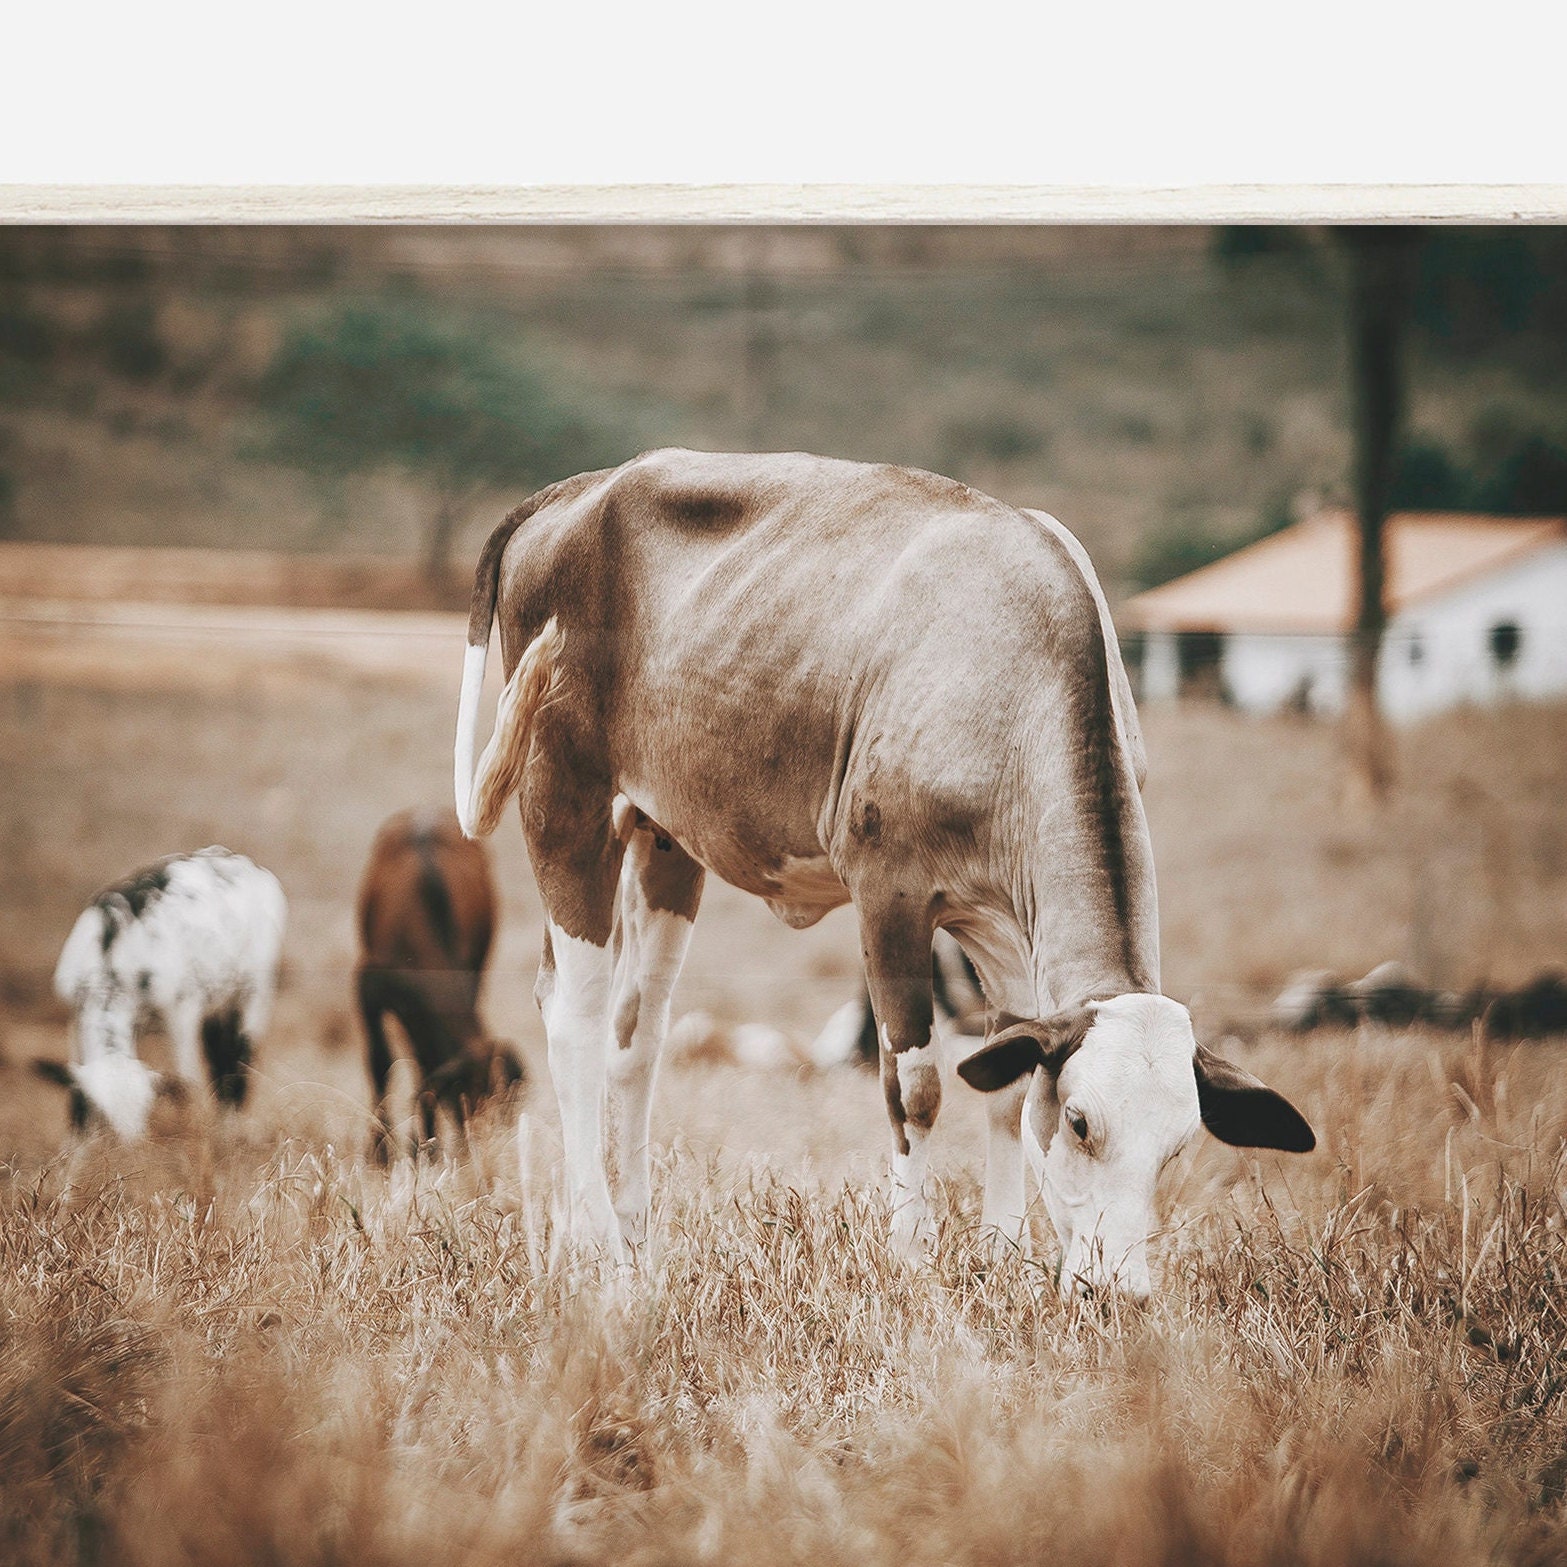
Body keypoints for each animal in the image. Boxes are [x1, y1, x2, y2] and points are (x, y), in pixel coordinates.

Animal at [40, 847, 286, 1139]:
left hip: (255, 989)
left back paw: (229, 1127)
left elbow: (186, 1082)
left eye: (144, 1112)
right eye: (102, 1114)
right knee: (219, 1053)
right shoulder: (75, 1014)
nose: (128, 1146)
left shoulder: (182, 1011)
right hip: (217, 999)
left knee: (239, 1054)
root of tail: (237, 859)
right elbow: (76, 1094)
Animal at [355, 807, 523, 1161]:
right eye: (465, 1094)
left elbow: (424, 1064)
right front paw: (380, 1150)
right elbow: (380, 1062)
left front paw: (424, 1145)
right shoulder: (366, 987)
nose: (476, 1147)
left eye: (499, 1103)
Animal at [453, 450, 1314, 1295]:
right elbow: (917, 1086)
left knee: (635, 1033)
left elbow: (1001, 1086)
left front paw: (1004, 1256)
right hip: (562, 799)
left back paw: (629, 1251)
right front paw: (911, 1255)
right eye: (1079, 1121)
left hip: (663, 838)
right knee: (576, 1017)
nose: (1118, 1291)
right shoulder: (890, 896)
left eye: (1177, 1146)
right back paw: (596, 1248)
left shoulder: (1003, 928)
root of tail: (584, 486)